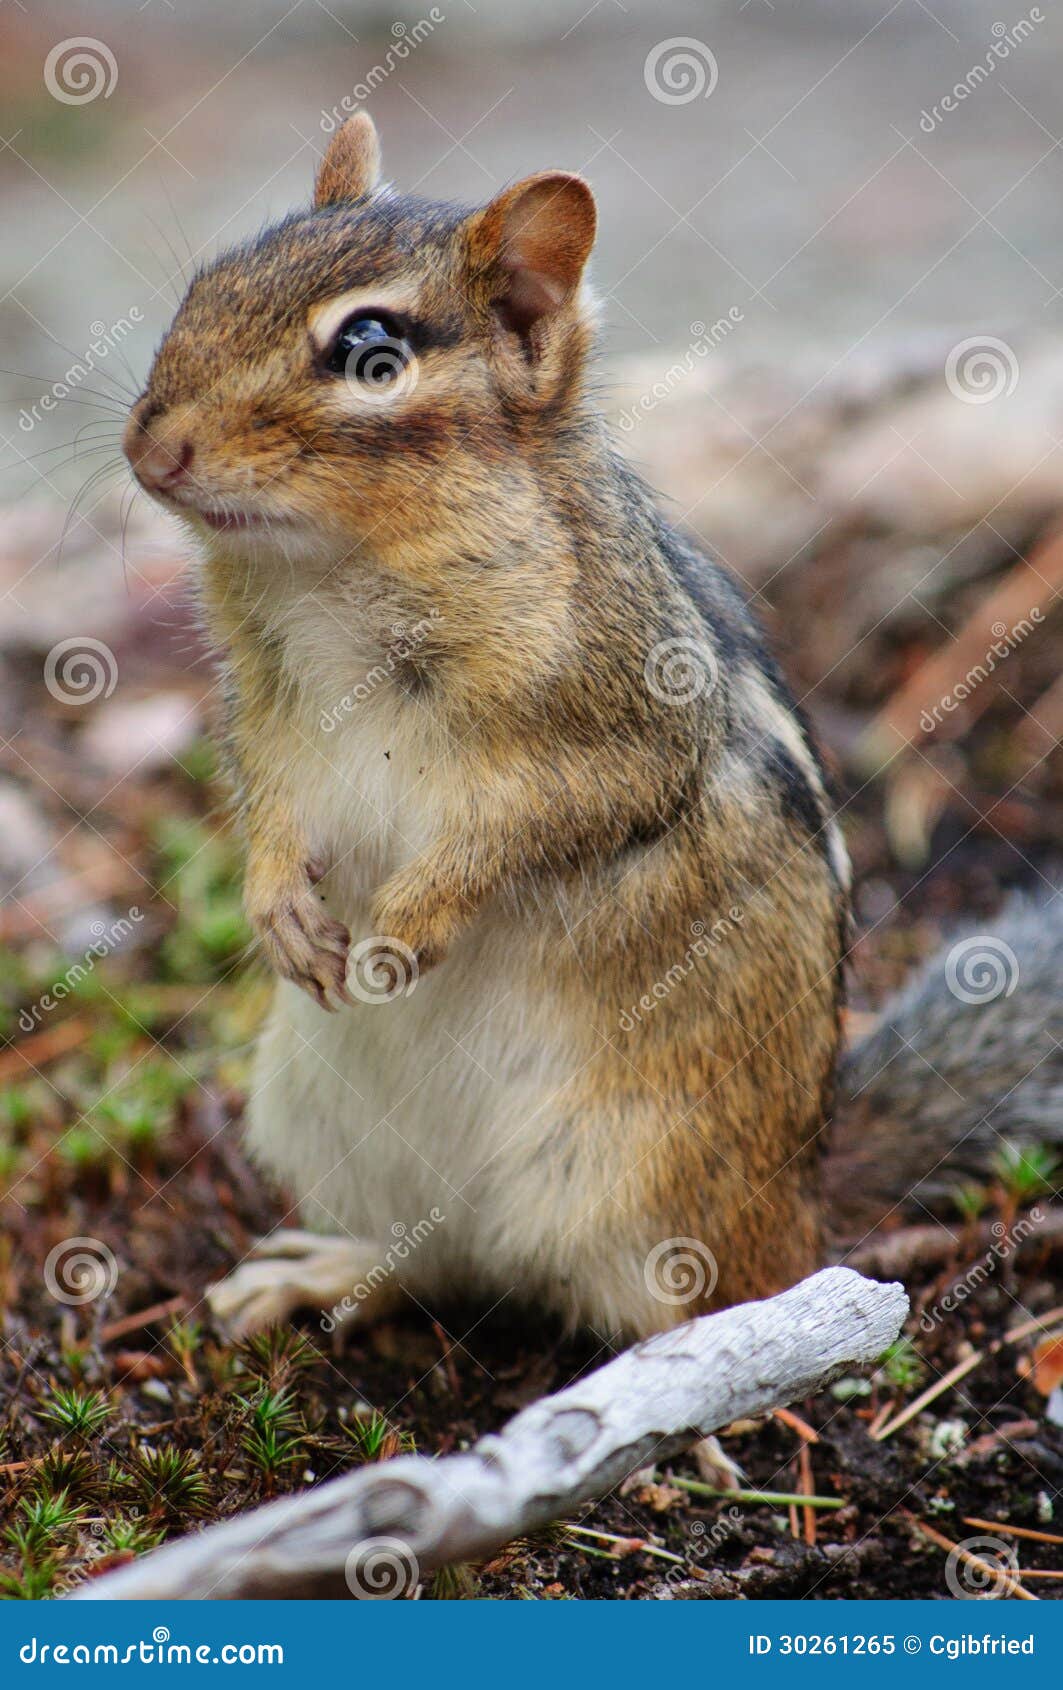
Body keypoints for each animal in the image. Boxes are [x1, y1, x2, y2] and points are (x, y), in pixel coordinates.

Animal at [122, 115, 1060, 1340]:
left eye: (372, 351)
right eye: (207, 283)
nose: (152, 451)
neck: (329, 570)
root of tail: (804, 1187)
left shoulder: (622, 730)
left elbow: (531, 824)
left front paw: (404, 927)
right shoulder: (265, 708)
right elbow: (271, 800)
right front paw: (279, 907)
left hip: (639, 1171)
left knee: (695, 1291)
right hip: (318, 1118)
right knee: (438, 1262)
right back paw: (318, 1273)